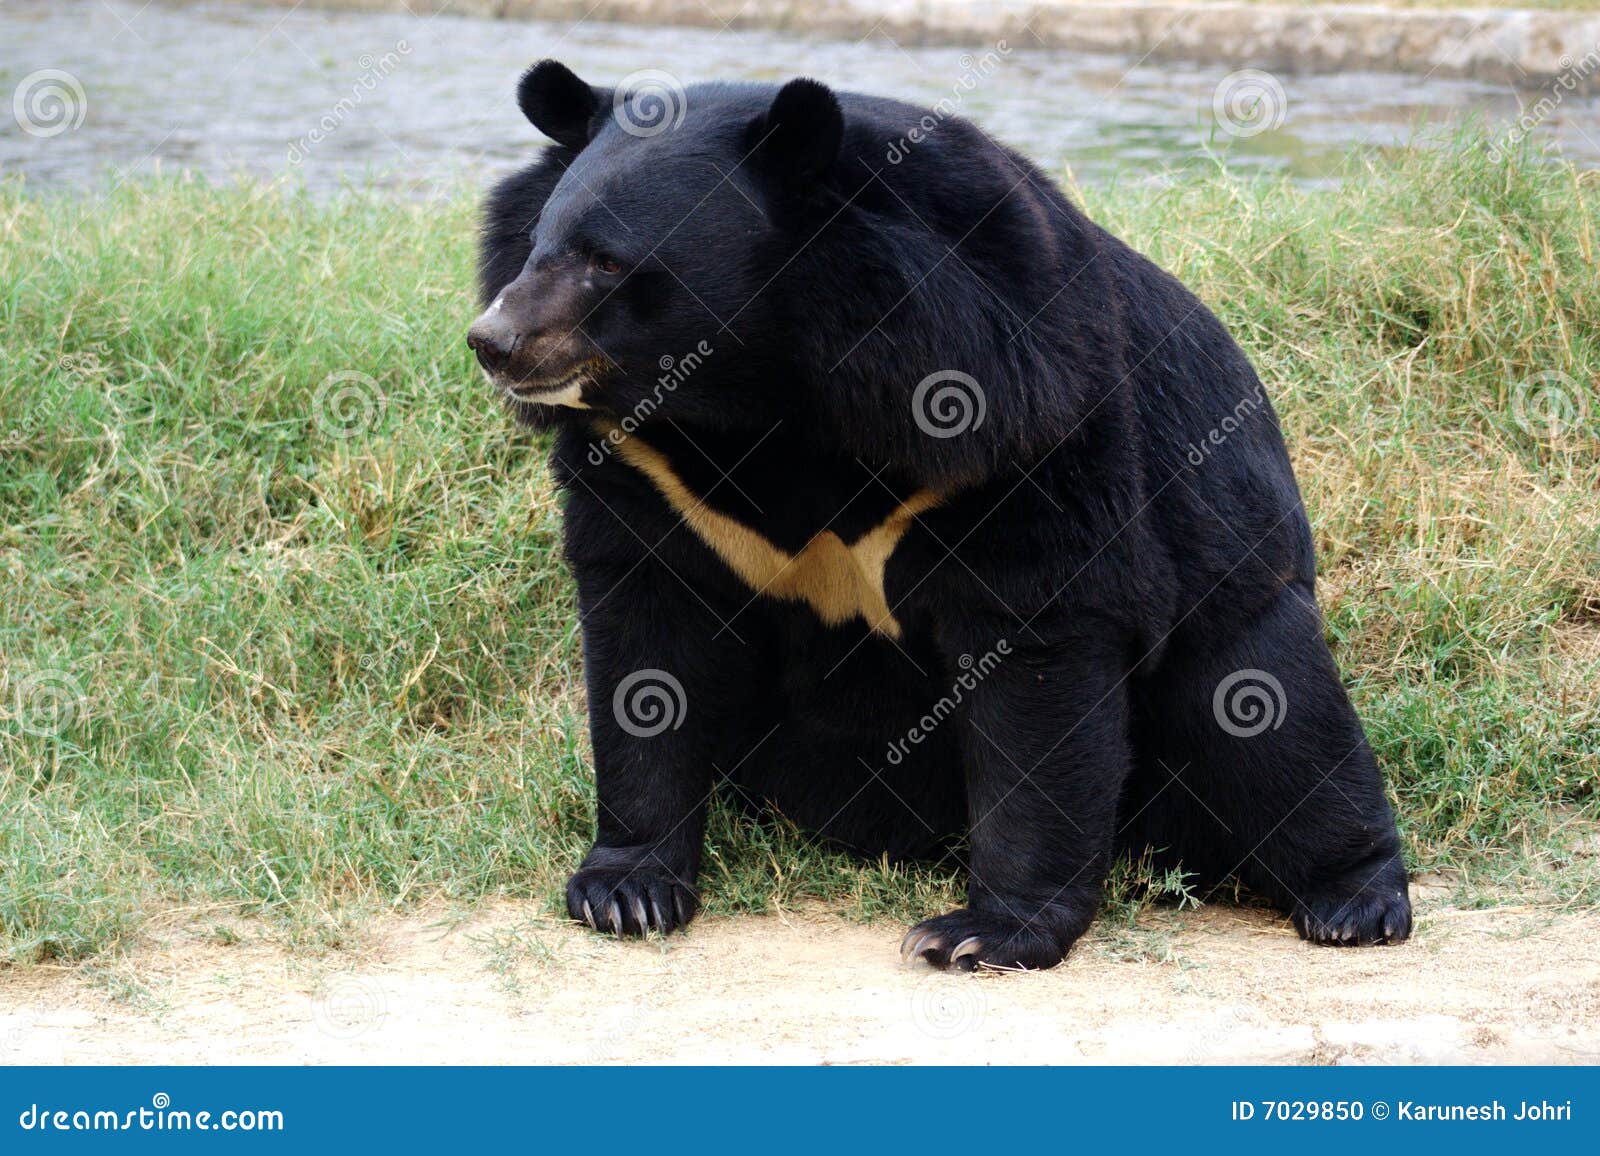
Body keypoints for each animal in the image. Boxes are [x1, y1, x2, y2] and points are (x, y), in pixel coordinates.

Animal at [467, 60, 1412, 971]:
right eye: (539, 245)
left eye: (607, 263)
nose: (493, 341)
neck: (758, 389)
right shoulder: (653, 472)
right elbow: (648, 644)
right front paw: (625, 891)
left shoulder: (1012, 407)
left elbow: (1037, 646)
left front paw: (979, 932)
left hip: (1238, 593)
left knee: (1273, 716)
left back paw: (1352, 902)